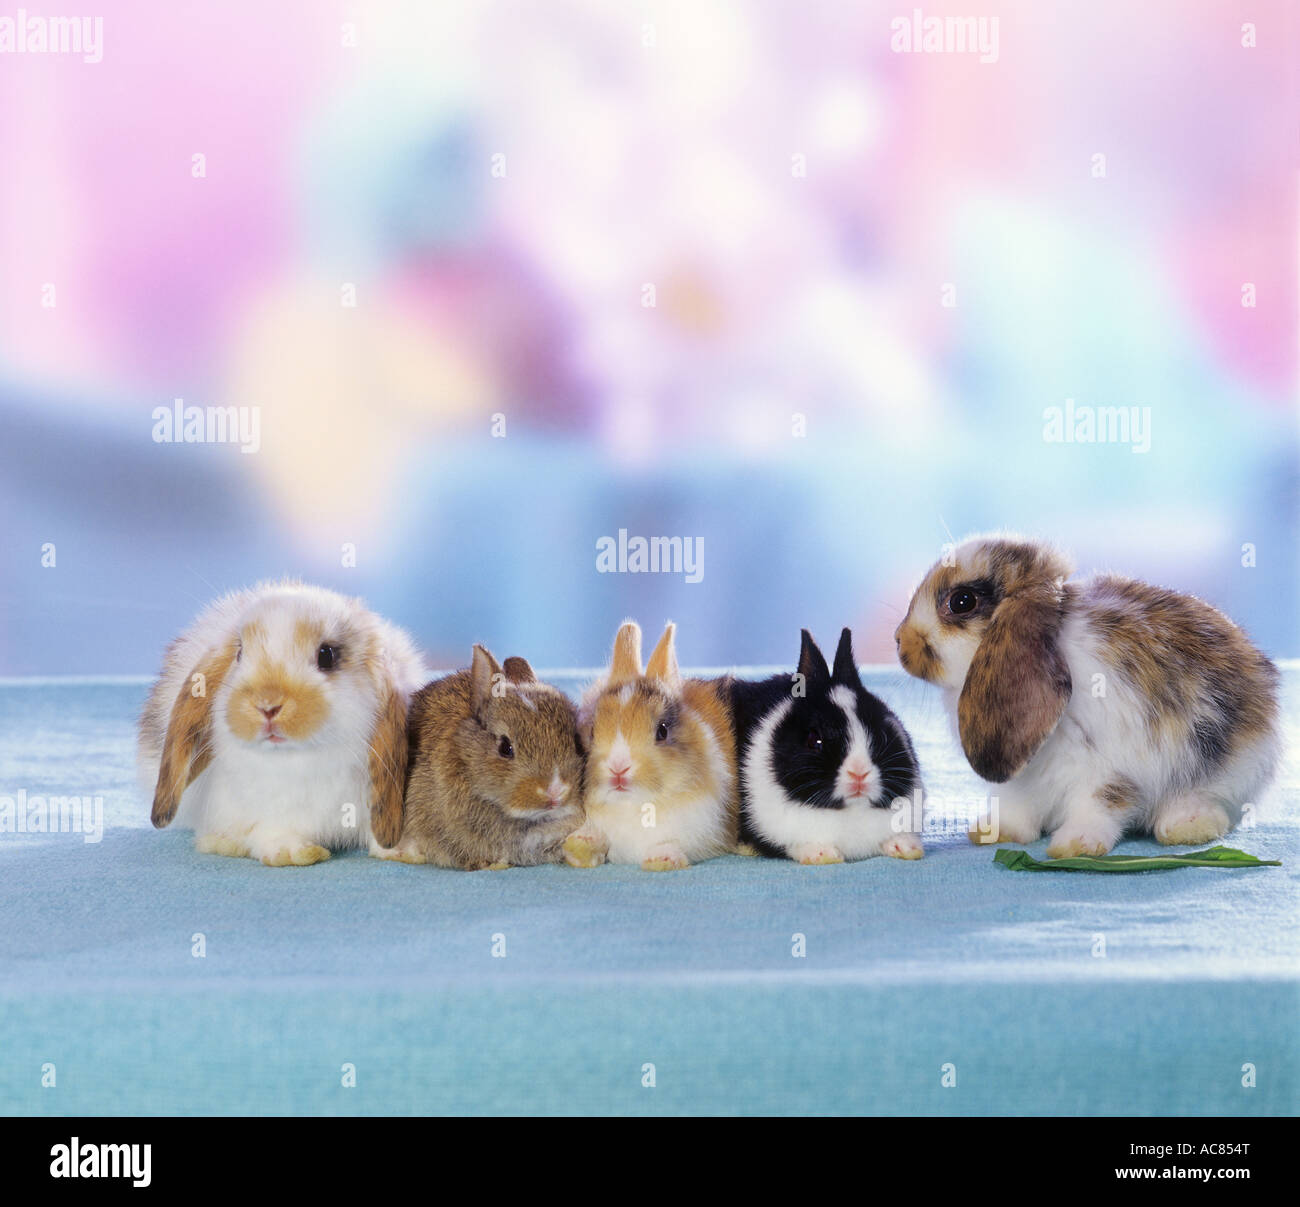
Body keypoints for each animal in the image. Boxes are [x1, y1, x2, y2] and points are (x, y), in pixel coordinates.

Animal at [138, 580, 426, 865]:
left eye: (327, 655)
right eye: (239, 653)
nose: (267, 705)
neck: (301, 756)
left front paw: (407, 851)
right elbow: (272, 831)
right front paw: (293, 853)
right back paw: (223, 843)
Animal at [563, 620, 738, 871]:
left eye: (662, 731)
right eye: (593, 732)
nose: (618, 768)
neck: (632, 805)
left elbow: (674, 843)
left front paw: (661, 859)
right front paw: (580, 844)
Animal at [894, 534, 1281, 857]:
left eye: (961, 601)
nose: (899, 640)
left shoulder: (1107, 770)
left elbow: (1099, 805)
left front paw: (1074, 846)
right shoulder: (1023, 779)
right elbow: (1016, 806)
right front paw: (995, 832)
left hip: (1231, 769)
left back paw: (1185, 827)